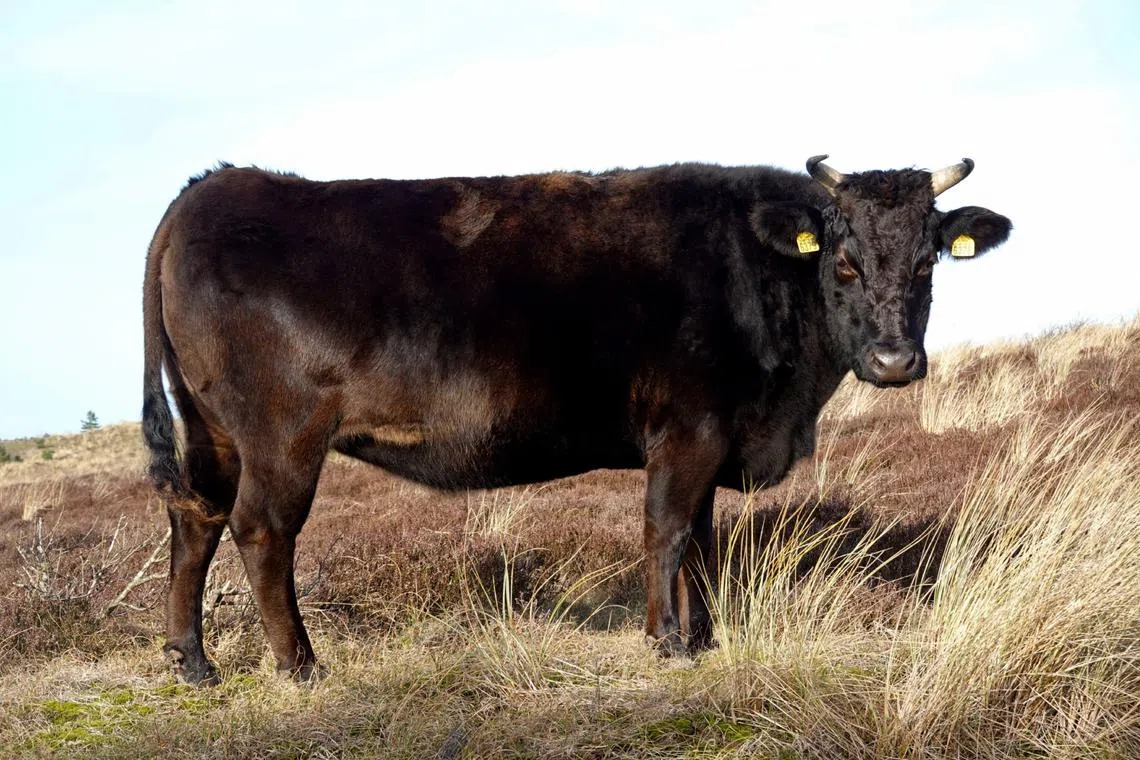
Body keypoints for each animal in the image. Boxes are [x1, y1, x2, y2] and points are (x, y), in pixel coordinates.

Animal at [142, 155, 1010, 684]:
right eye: (845, 263)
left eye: (929, 262)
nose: (894, 362)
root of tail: (215, 186)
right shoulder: (690, 430)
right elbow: (667, 531)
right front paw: (669, 642)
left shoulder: (711, 437)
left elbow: (702, 541)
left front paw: (703, 637)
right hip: (283, 433)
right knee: (261, 530)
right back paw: (299, 664)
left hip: (213, 429)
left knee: (196, 517)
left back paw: (193, 660)